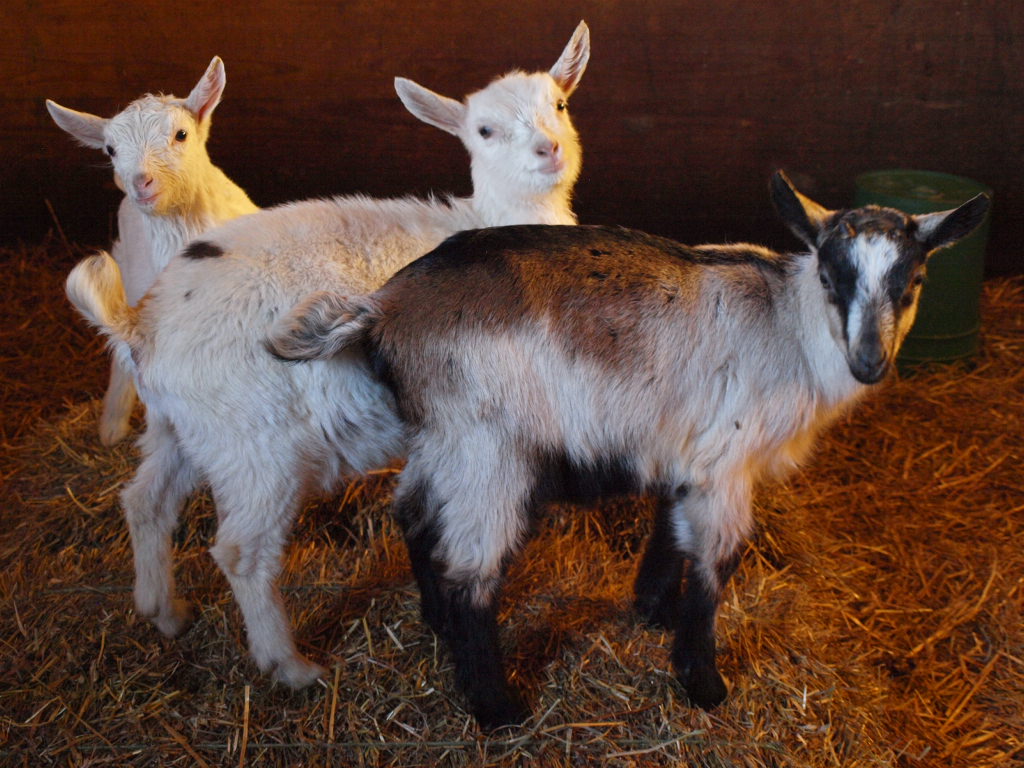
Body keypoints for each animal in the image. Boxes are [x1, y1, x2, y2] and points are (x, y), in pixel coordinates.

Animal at [269, 171, 989, 727]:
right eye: (831, 277)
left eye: (912, 281)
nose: (870, 362)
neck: (788, 326)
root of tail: (383, 306)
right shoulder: (726, 467)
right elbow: (716, 566)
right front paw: (704, 683)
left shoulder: (685, 451)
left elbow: (670, 530)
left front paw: (651, 610)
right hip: (488, 449)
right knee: (470, 570)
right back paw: (498, 708)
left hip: (442, 439)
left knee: (414, 518)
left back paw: (437, 625)